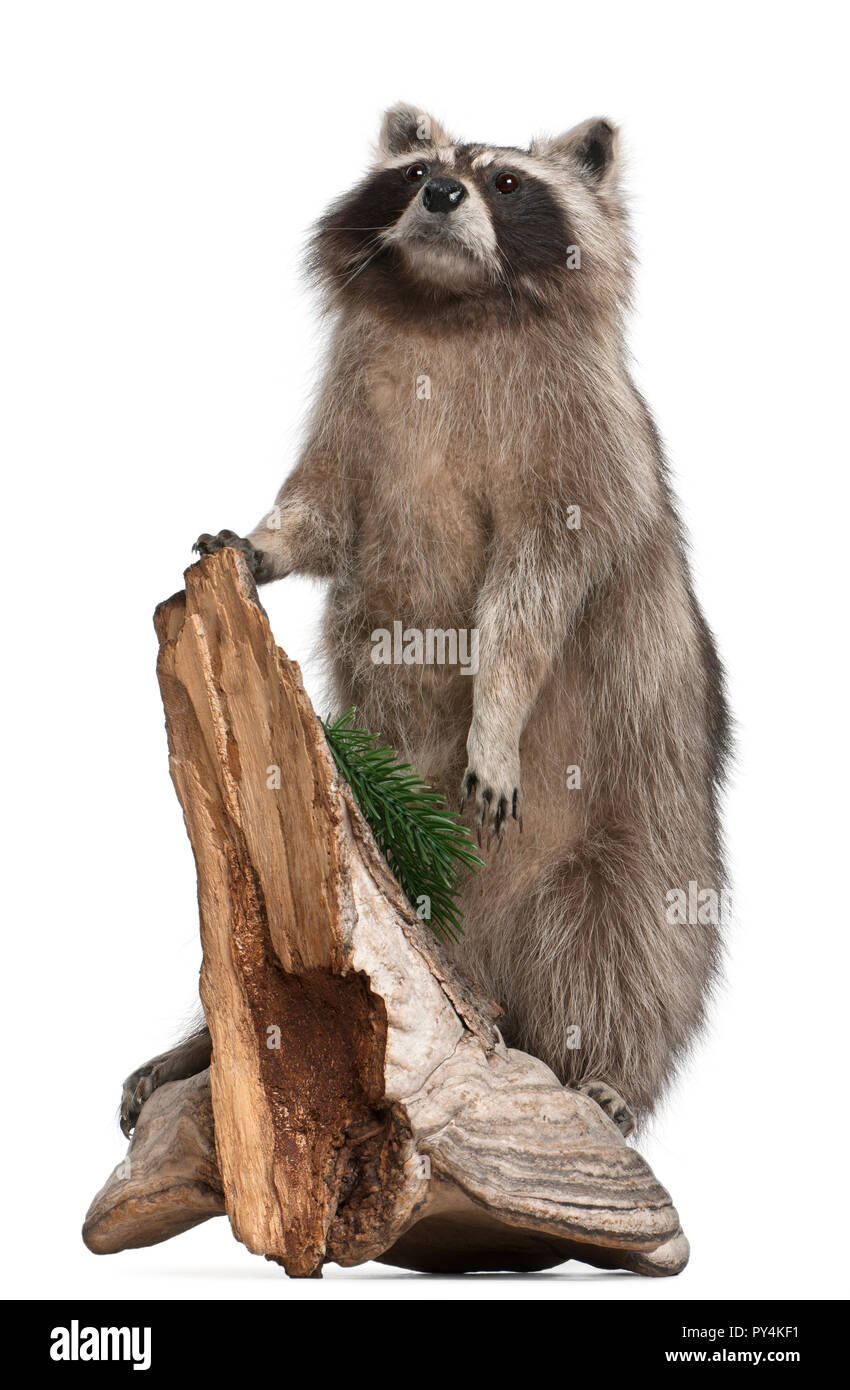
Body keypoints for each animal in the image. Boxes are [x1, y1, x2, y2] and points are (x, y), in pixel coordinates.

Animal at [122, 105, 729, 1139]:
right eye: (414, 173)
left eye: (507, 182)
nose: (443, 193)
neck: (453, 310)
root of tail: (491, 981)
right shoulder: (356, 415)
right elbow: (322, 509)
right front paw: (261, 542)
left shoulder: (587, 450)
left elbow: (534, 594)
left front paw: (498, 707)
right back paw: (199, 1051)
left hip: (649, 822)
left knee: (633, 942)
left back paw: (608, 1070)